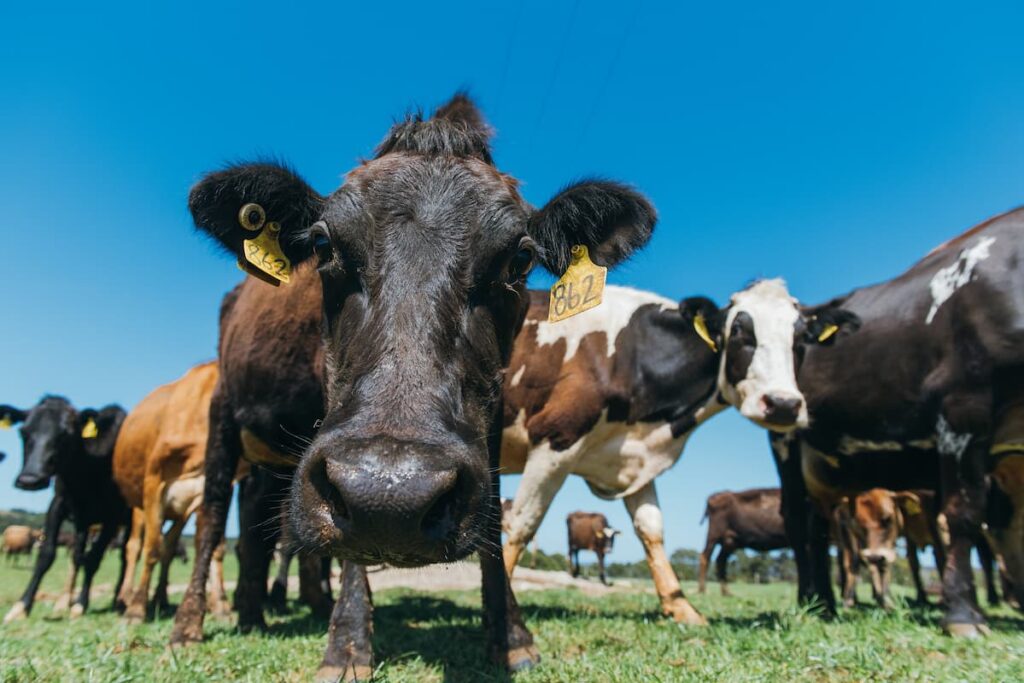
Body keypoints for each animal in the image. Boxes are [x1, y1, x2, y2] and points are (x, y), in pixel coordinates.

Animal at [0, 398, 128, 622]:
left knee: (127, 558)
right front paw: (22, 606)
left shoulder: (112, 517)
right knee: (77, 556)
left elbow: (93, 559)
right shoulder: (58, 505)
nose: (30, 479)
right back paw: (64, 601)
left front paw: (81, 604)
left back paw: (118, 601)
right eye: (24, 432)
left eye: (65, 434)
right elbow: (47, 555)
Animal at [112, 361, 239, 622]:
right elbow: (151, 548)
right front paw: (137, 608)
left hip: (180, 511)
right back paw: (125, 598)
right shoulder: (154, 483)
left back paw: (160, 598)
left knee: (169, 545)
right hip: (138, 505)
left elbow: (215, 547)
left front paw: (221, 606)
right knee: (134, 546)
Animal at [170, 93, 655, 679]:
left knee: (256, 516)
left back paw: (255, 613)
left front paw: (510, 635)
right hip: (224, 412)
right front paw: (348, 645)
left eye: (519, 258)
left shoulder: (491, 417)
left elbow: (494, 510)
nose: (389, 494)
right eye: (323, 244)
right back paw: (190, 625)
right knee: (214, 512)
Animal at [500, 281, 856, 625]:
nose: (783, 404)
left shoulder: (634, 460)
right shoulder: (554, 438)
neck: (632, 355)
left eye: (801, 339)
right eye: (739, 331)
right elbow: (522, 523)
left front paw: (681, 607)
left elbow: (651, 529)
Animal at [770, 206, 1024, 636]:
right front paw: (963, 615)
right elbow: (963, 514)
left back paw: (825, 604)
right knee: (798, 520)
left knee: (818, 525)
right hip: (785, 439)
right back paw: (809, 599)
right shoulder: (962, 402)